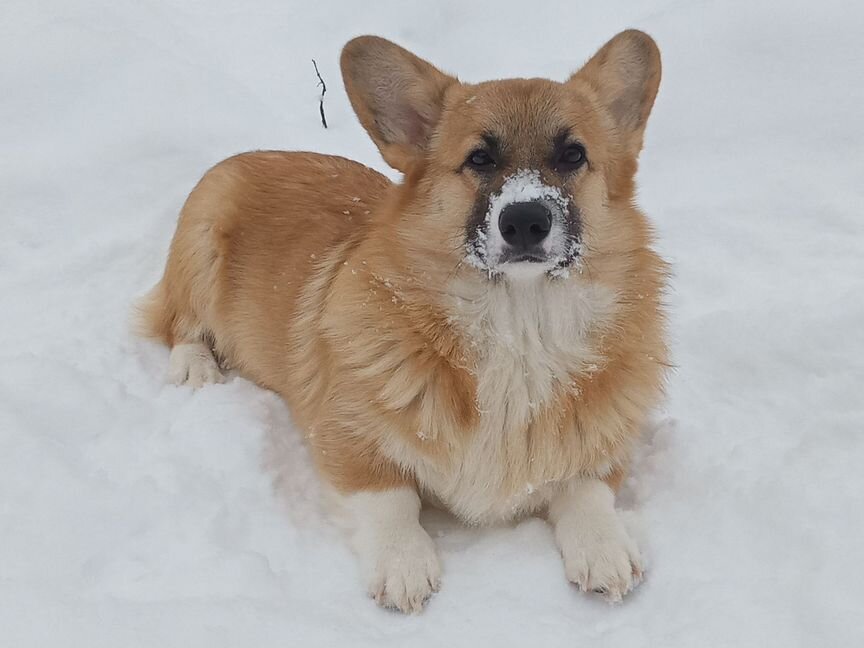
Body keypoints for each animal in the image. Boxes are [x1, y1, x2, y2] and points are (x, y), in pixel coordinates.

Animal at [138, 29, 672, 612]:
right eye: (479, 158)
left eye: (574, 154)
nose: (525, 221)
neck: (518, 320)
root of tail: (251, 154)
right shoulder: (348, 439)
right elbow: (390, 500)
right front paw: (403, 565)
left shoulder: (597, 450)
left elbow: (586, 489)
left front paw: (604, 548)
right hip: (202, 242)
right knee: (178, 322)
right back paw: (196, 368)